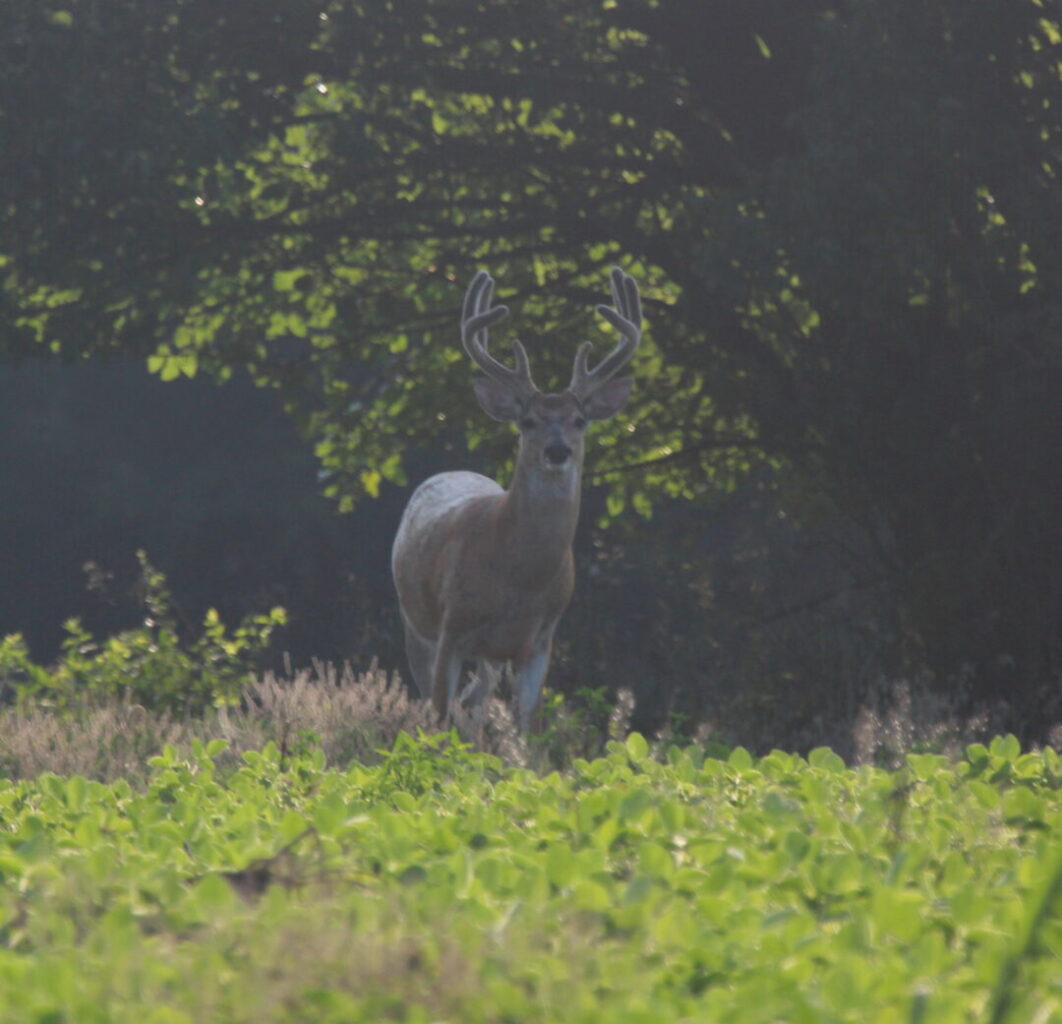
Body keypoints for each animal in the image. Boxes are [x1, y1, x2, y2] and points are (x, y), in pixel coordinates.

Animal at [391, 267, 643, 732]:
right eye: (527, 421)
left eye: (579, 420)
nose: (557, 451)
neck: (518, 577)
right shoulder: (451, 628)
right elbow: (439, 717)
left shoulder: (541, 641)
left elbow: (528, 727)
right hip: (413, 622)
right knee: (436, 702)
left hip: (489, 656)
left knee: (475, 700)